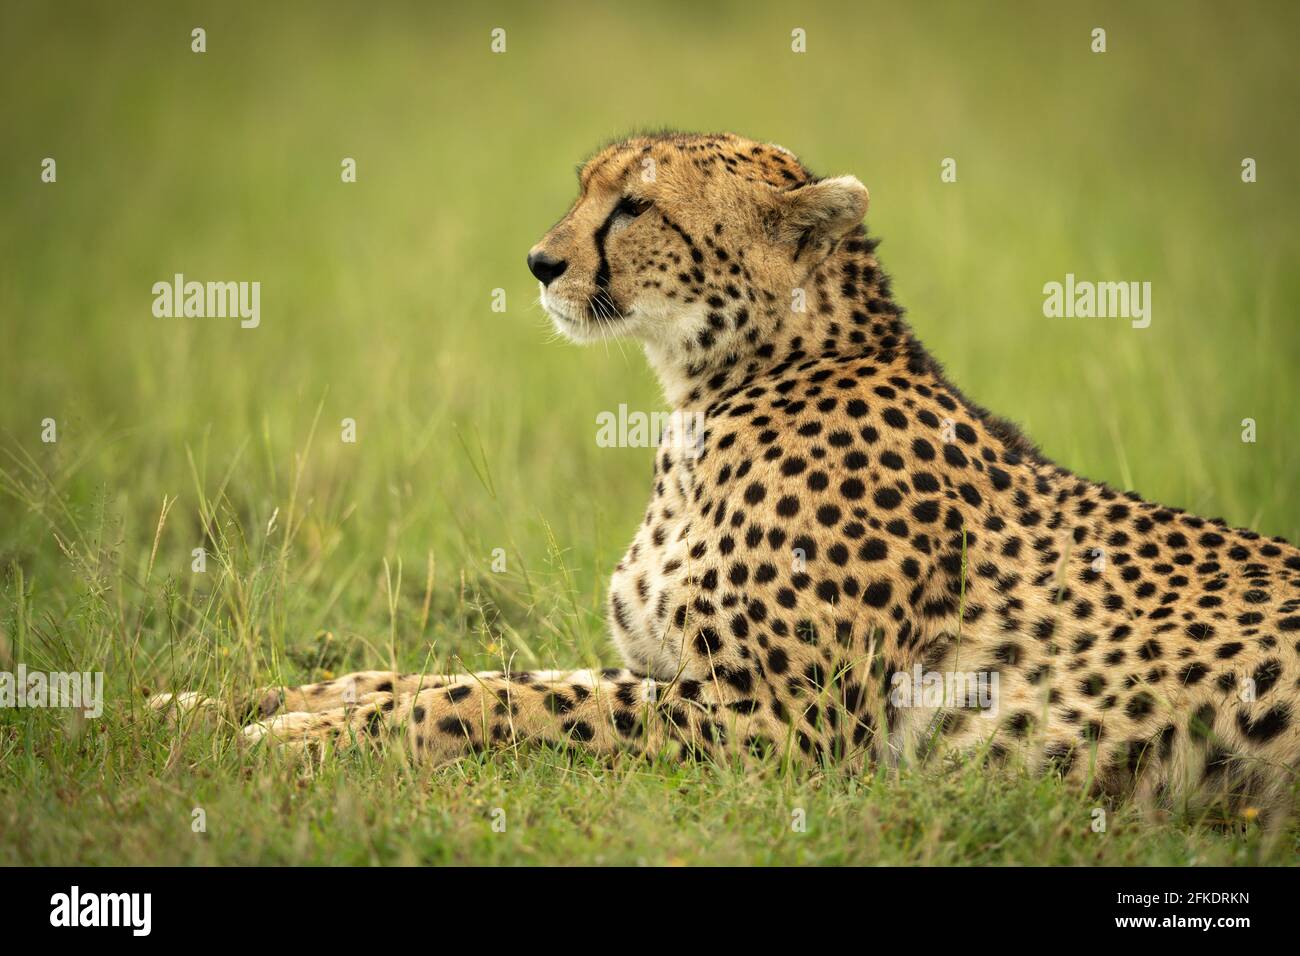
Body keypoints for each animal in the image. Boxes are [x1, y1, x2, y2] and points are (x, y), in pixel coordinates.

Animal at [153, 131, 1300, 824]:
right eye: (585, 191)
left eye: (634, 209)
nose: (539, 263)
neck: (714, 390)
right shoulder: (676, 670)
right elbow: (448, 672)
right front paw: (210, 702)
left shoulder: (782, 728)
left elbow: (505, 697)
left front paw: (299, 738)